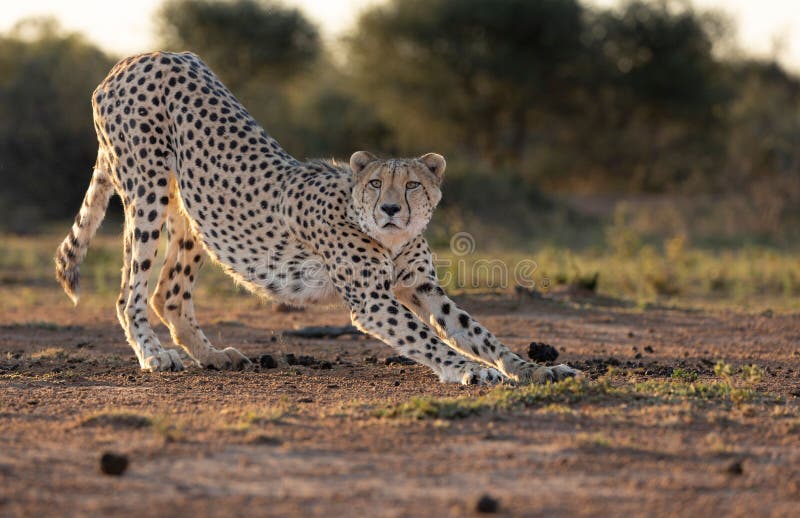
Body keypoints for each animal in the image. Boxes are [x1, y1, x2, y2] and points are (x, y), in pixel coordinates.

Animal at [55, 51, 580, 385]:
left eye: (411, 184)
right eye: (376, 184)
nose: (391, 209)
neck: (387, 235)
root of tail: (134, 58)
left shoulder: (423, 288)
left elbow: (477, 332)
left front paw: (536, 369)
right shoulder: (371, 301)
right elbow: (429, 340)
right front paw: (470, 369)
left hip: (193, 212)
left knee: (169, 293)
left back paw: (212, 356)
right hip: (147, 190)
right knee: (130, 291)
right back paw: (153, 355)